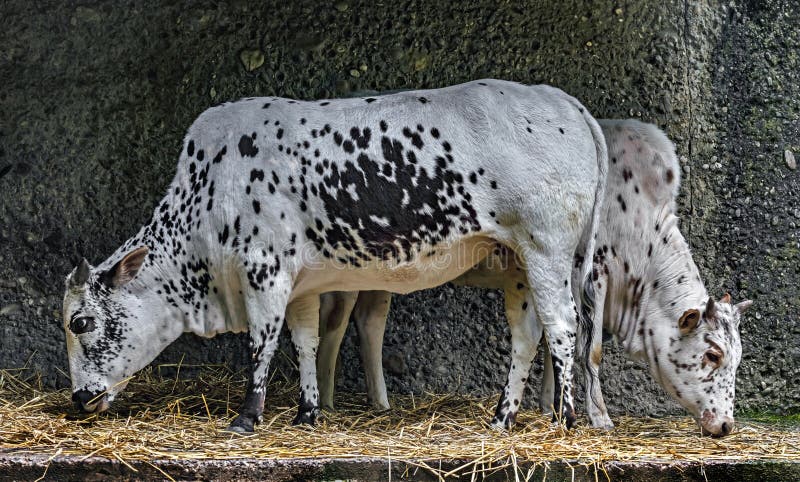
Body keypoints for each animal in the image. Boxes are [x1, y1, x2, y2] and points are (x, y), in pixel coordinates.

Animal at [62, 80, 608, 433]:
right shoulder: (302, 284)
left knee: (563, 326)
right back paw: (502, 418)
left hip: (547, 252)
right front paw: (307, 413)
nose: (80, 399)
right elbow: (306, 342)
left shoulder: (264, 273)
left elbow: (262, 346)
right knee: (527, 337)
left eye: (81, 322)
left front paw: (247, 418)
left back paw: (566, 418)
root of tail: (562, 100)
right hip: (516, 263)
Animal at [316, 119, 751, 437]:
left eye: (737, 357)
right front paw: (598, 417)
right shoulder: (586, 272)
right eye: (713, 353)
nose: (725, 425)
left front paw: (550, 407)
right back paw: (326, 400)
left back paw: (377, 402)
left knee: (369, 321)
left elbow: (547, 338)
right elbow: (589, 348)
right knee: (337, 319)